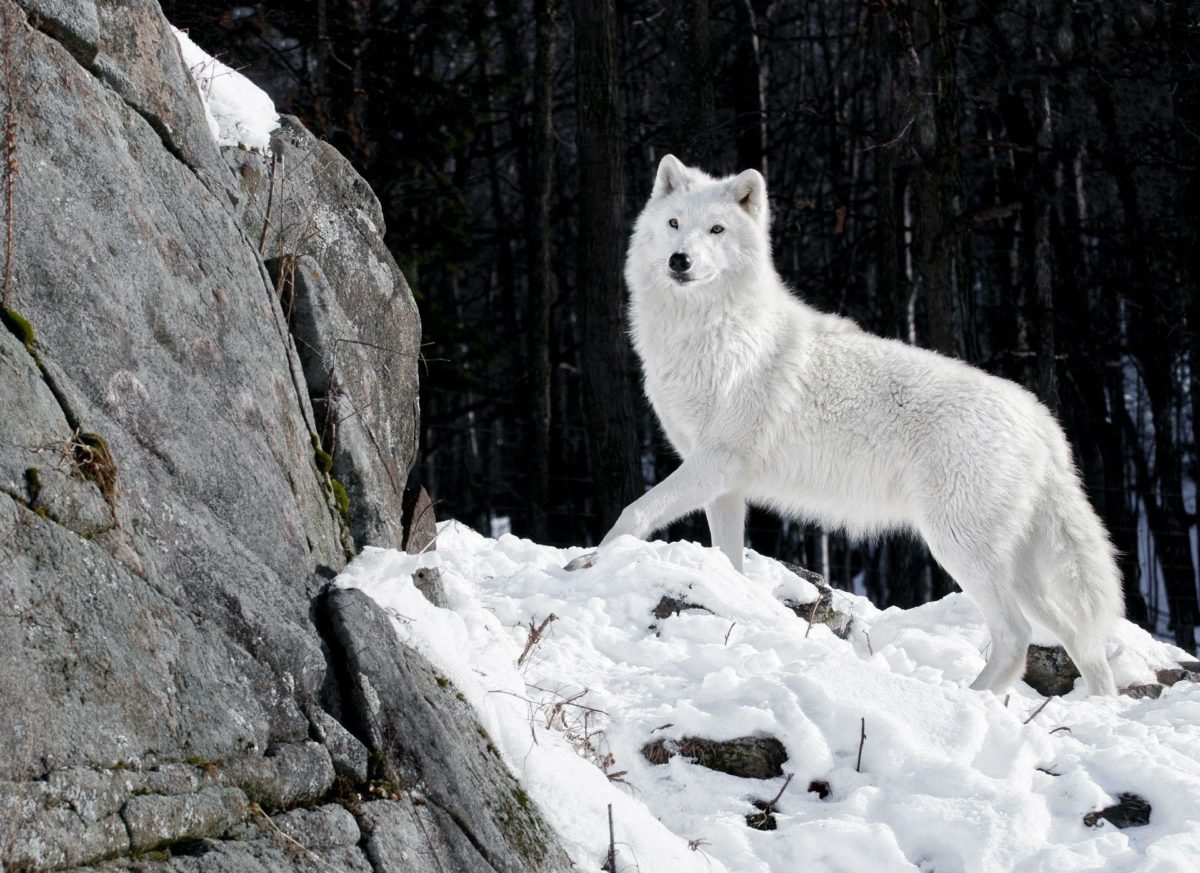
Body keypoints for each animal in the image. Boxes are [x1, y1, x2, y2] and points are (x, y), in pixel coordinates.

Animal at [590, 154, 1123, 696]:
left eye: (716, 230)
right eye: (675, 224)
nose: (680, 260)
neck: (708, 333)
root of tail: (1042, 419)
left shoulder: (714, 462)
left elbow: (632, 513)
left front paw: (587, 565)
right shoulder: (723, 485)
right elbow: (729, 561)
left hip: (958, 546)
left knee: (1016, 637)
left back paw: (967, 700)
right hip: (1016, 568)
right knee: (1082, 641)